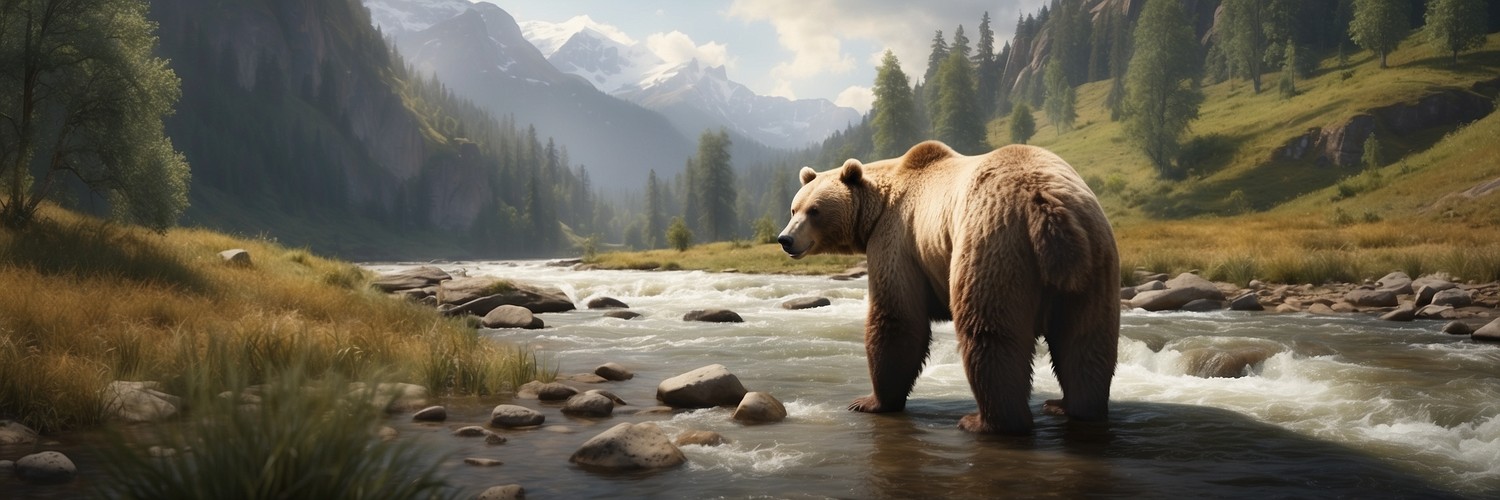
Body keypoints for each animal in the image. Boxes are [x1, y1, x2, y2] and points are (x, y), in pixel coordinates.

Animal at [776, 140, 1119, 434]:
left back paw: (985, 422)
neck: (878, 208)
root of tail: (1048, 209)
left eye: (814, 210)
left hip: (993, 244)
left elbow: (897, 318)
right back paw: (1072, 406)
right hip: (1094, 261)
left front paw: (869, 402)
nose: (785, 239)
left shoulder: (897, 239)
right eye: (795, 208)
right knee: (1086, 339)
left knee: (989, 333)